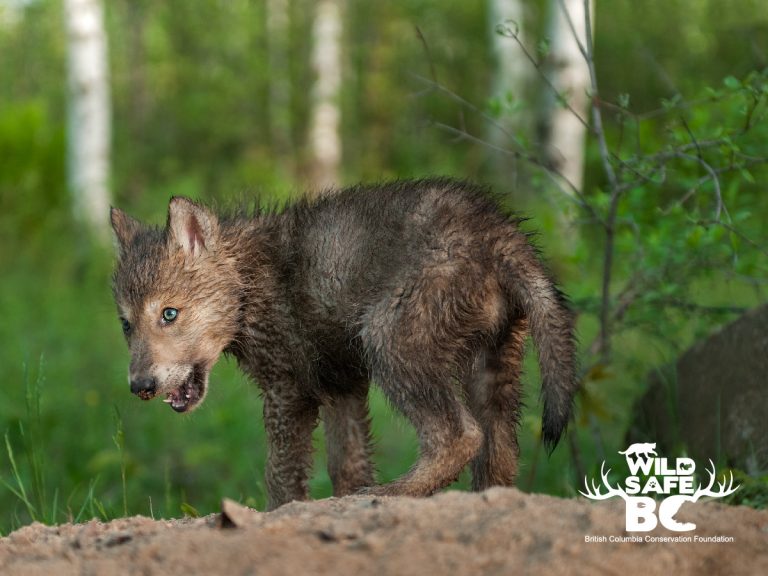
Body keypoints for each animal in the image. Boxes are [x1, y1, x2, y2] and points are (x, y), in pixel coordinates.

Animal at [110, 178, 578, 509]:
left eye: (169, 314)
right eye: (126, 325)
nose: (140, 387)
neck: (245, 284)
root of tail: (500, 235)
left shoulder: (287, 388)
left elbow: (281, 475)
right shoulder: (341, 384)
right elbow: (347, 463)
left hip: (389, 337)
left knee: (459, 436)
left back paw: (388, 494)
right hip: (494, 362)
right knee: (501, 455)